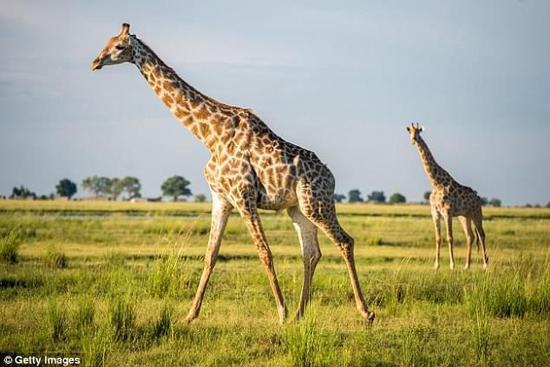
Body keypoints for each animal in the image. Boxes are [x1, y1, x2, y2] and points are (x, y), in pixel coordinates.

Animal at [91, 23, 376, 324]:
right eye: (107, 41)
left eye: (119, 46)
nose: (95, 62)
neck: (209, 135)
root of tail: (331, 177)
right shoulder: (221, 198)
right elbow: (210, 255)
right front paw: (190, 315)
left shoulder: (243, 195)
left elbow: (264, 252)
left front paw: (281, 313)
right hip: (297, 208)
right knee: (311, 253)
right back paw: (301, 313)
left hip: (317, 203)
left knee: (345, 241)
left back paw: (365, 312)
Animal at [406, 123, 492, 270]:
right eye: (410, 132)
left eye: (418, 132)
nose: (413, 140)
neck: (436, 182)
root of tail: (478, 197)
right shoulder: (435, 213)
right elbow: (438, 238)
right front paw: (436, 265)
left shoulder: (447, 212)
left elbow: (449, 237)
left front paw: (452, 265)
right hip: (464, 216)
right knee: (470, 236)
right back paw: (467, 266)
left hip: (477, 213)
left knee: (481, 235)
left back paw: (485, 265)